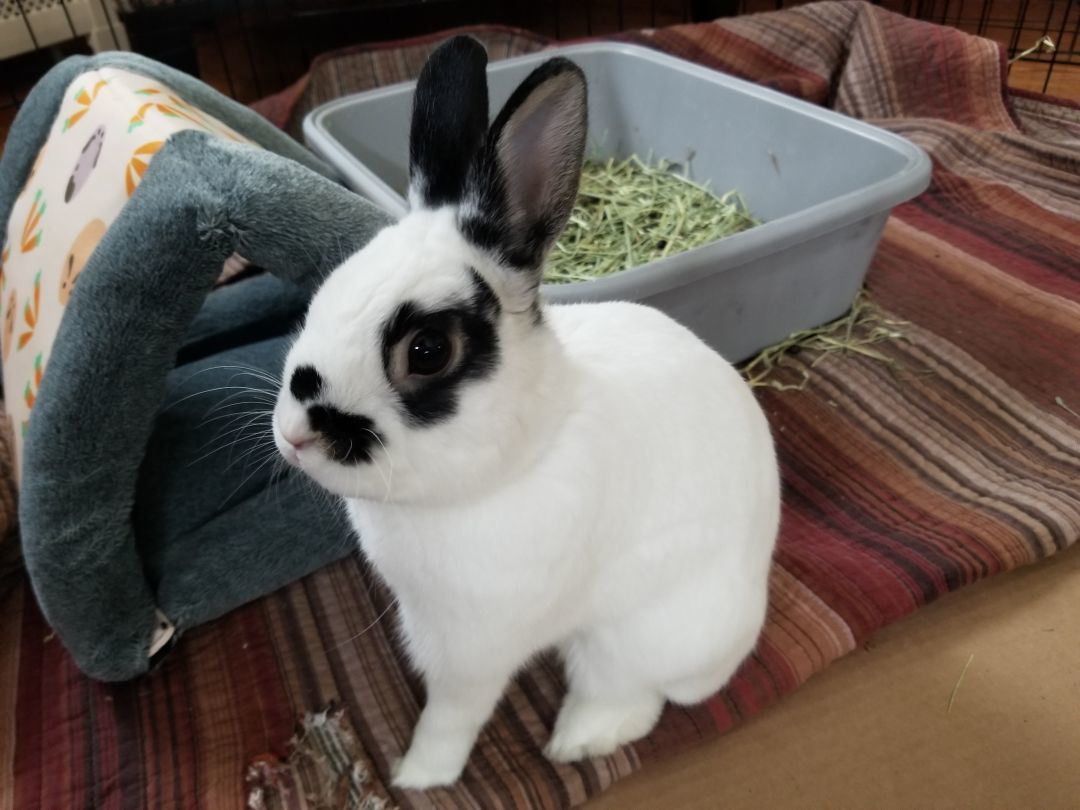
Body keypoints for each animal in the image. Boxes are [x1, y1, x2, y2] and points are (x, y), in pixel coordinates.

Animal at [272, 35, 781, 791]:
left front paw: (416, 776)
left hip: (631, 637)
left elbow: (453, 714)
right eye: (326, 291)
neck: (516, 459)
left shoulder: (474, 645)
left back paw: (576, 742)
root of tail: (743, 629)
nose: (293, 434)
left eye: (428, 351)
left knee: (634, 695)